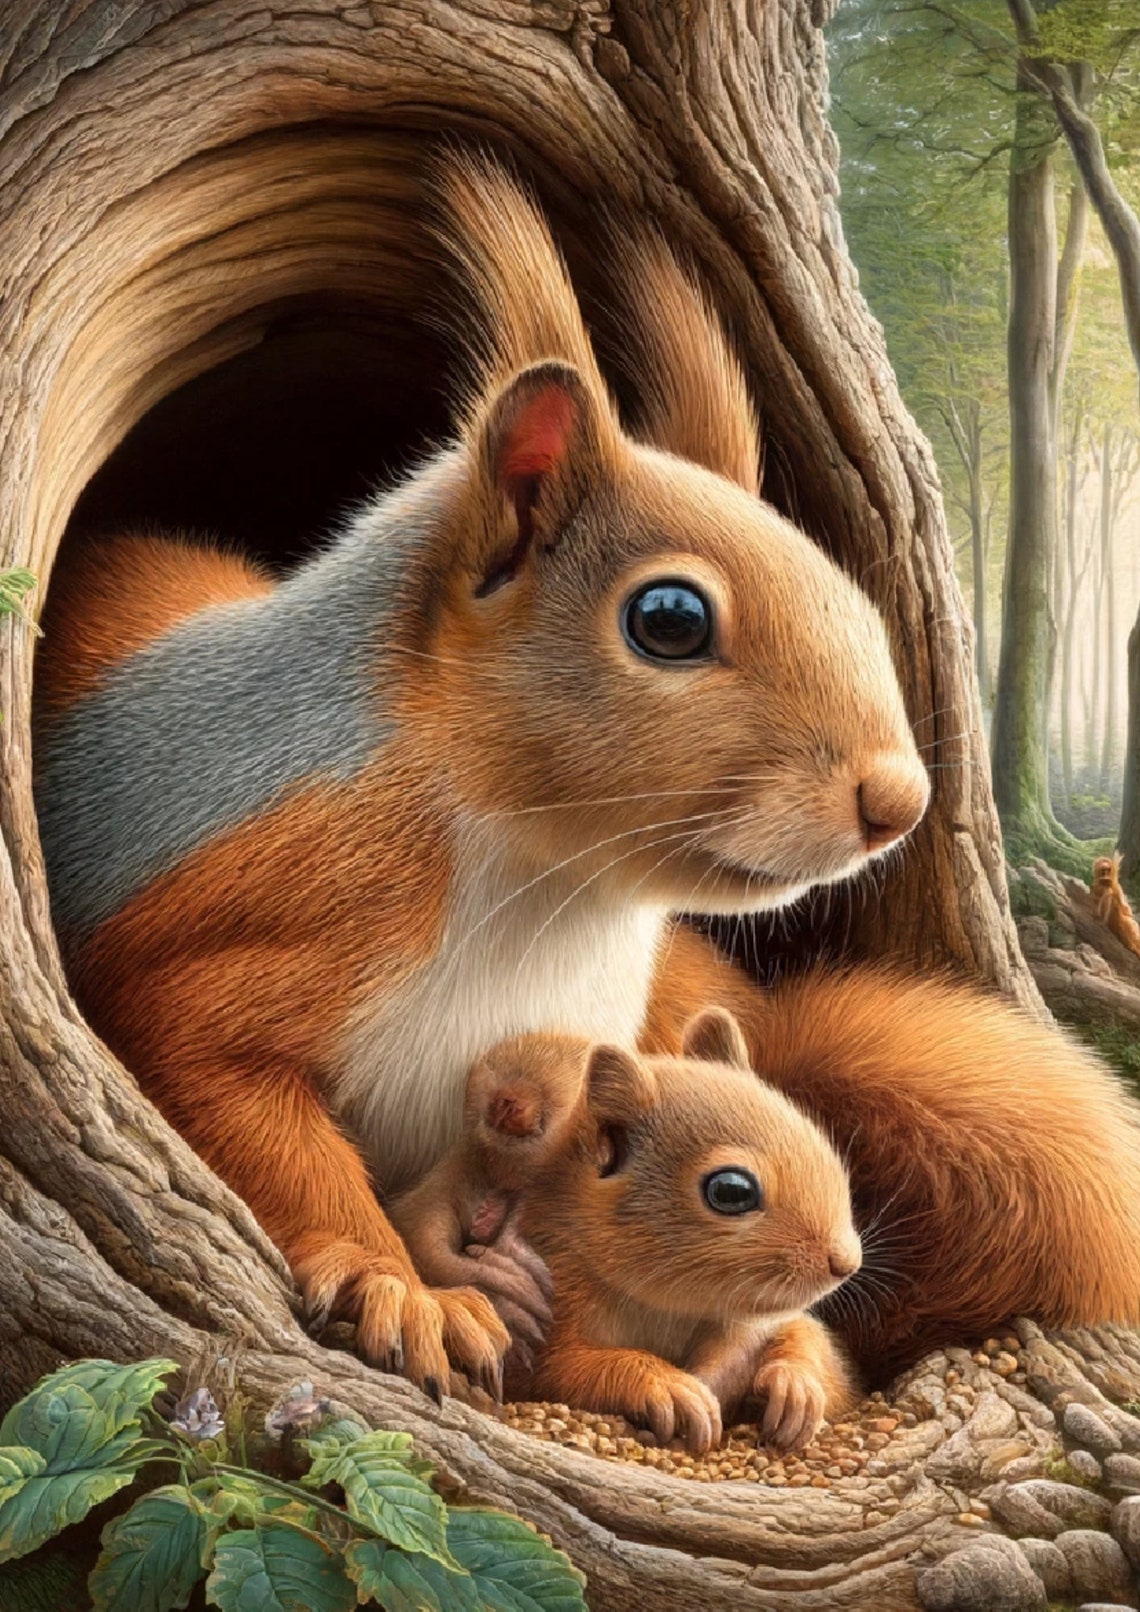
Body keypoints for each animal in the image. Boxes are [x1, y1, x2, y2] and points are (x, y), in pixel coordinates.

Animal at [31, 152, 1140, 1396]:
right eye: (669, 619)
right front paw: (402, 1286)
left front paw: (792, 1349)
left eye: (852, 590)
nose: (895, 801)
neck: (548, 890)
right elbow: (247, 1118)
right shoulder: (215, 943)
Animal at [391, 1011, 860, 1453]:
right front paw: (667, 1385)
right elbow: (566, 1371)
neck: (668, 1309)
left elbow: (812, 1348)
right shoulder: (556, 1307)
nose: (846, 1262)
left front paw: (796, 1384)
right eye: (731, 1191)